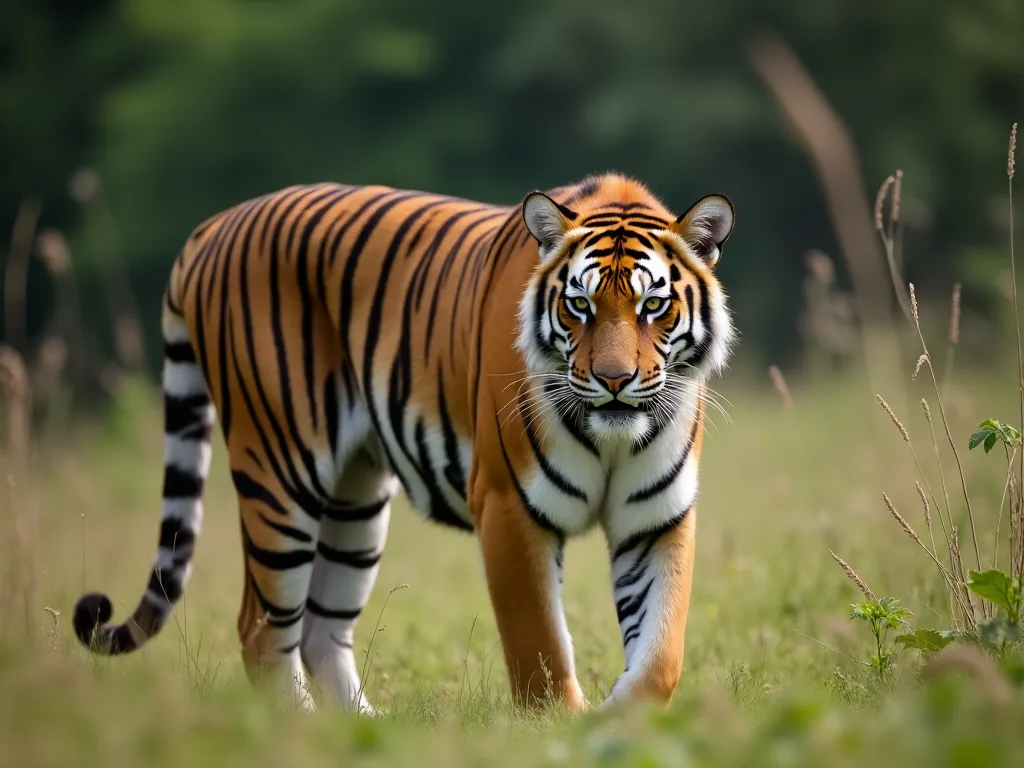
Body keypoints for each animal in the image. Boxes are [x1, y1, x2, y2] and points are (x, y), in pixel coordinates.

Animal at [72, 172, 736, 714]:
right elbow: (540, 649)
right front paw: (564, 728)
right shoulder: (507, 504)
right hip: (279, 471)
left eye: (653, 305)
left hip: (354, 498)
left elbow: (662, 651)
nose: (614, 380)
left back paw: (366, 731)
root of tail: (214, 226)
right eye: (579, 305)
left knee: (318, 631)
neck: (613, 439)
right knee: (260, 629)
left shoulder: (656, 517)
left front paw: (623, 717)